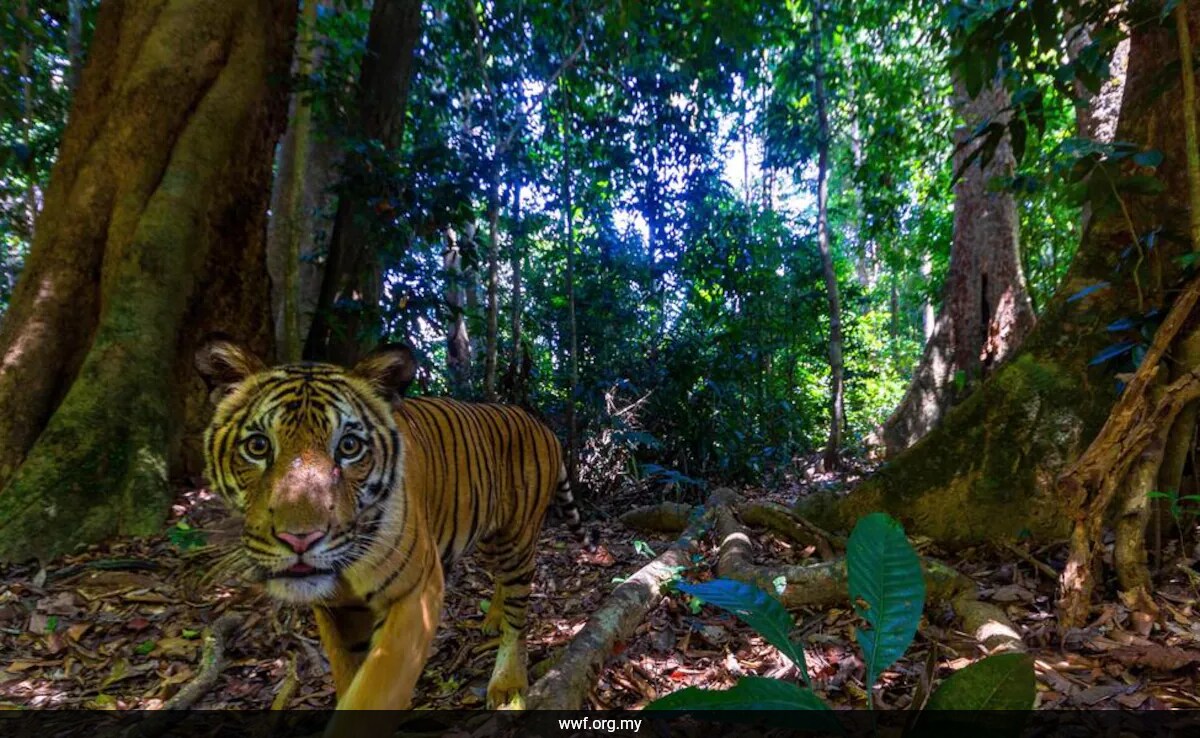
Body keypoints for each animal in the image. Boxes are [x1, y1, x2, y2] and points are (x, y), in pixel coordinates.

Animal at [194, 336, 589, 711]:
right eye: (258, 446)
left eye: (349, 447)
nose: (300, 540)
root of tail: (538, 422)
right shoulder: (334, 608)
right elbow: (348, 673)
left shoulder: (416, 592)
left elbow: (375, 688)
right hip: (488, 537)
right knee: (501, 583)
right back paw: (493, 618)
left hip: (516, 539)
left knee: (518, 615)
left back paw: (507, 683)